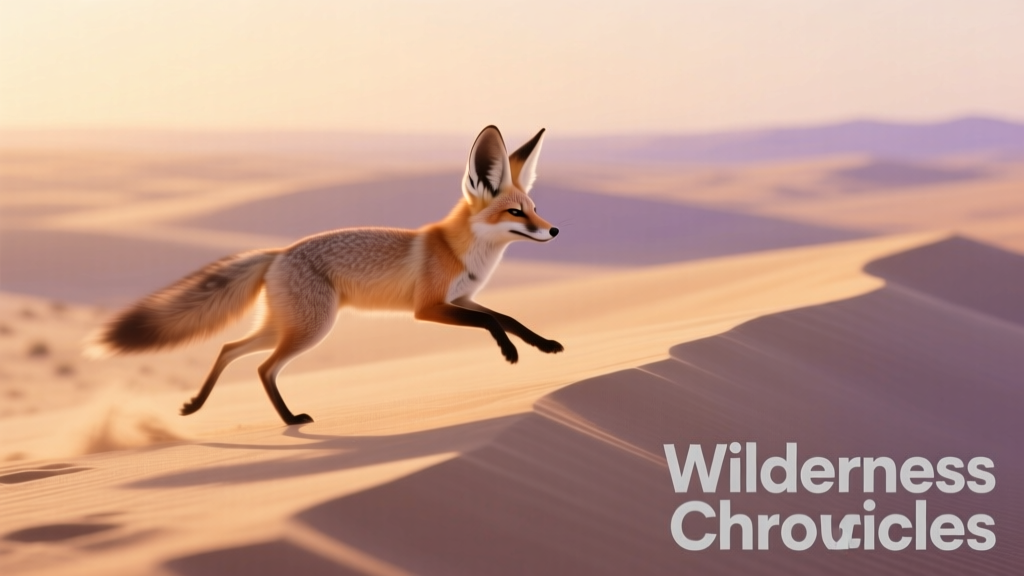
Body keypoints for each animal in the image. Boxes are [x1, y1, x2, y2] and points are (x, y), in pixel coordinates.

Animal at [87, 126, 563, 425]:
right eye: (516, 212)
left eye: (535, 207)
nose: (555, 230)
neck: (458, 251)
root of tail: (279, 252)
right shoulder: (429, 308)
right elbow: (492, 322)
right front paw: (509, 352)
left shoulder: (460, 299)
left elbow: (507, 318)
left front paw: (543, 344)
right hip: (311, 327)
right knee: (262, 367)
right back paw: (290, 419)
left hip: (285, 325)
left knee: (229, 348)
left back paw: (195, 405)